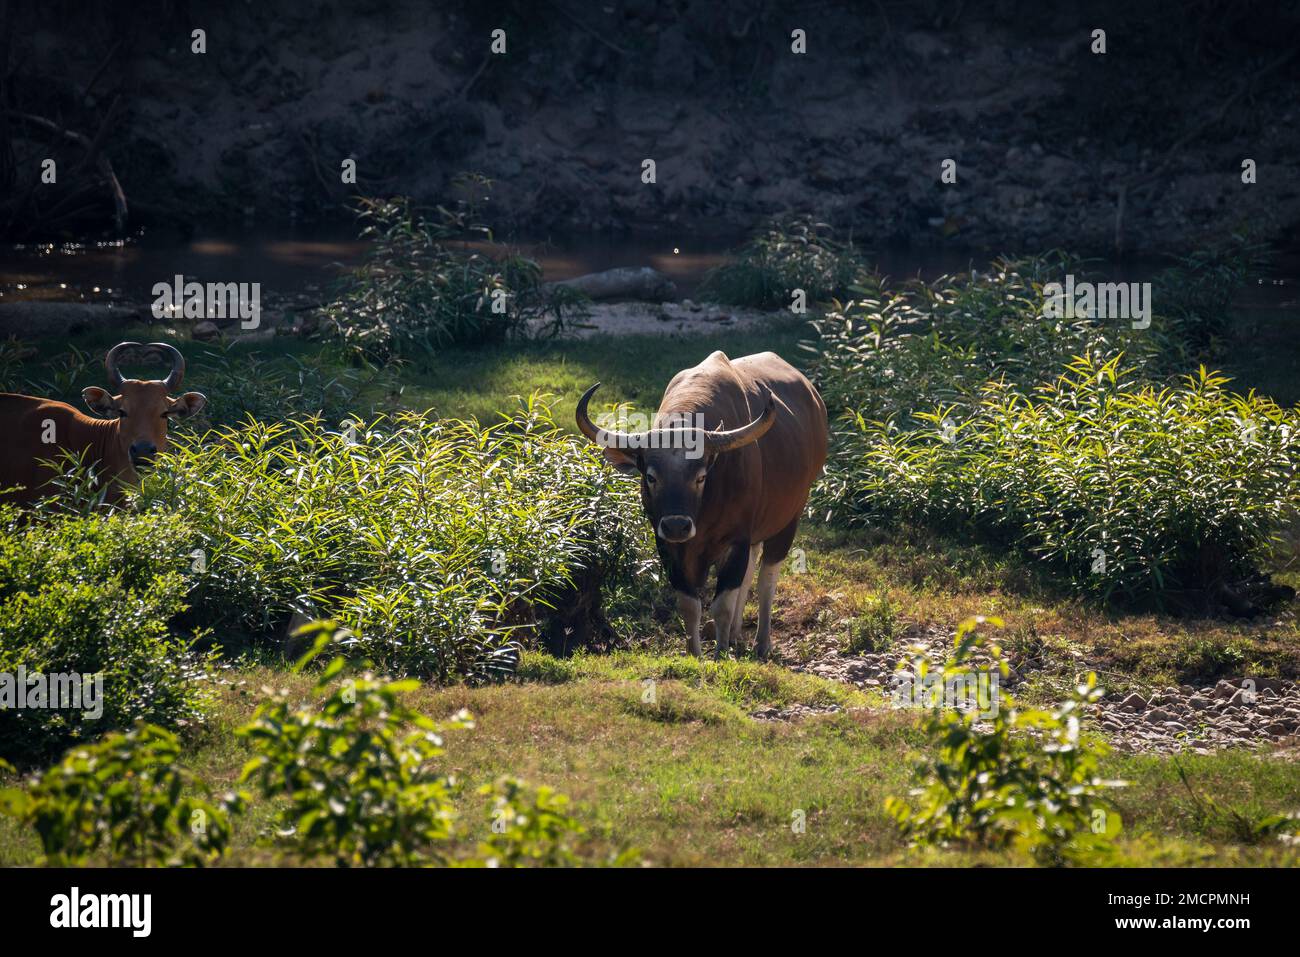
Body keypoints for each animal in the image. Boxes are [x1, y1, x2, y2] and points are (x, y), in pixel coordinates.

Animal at [576, 350, 827, 659]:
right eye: (651, 476)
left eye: (701, 477)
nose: (677, 526)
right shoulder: (668, 546)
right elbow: (689, 604)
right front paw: (695, 653)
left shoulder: (736, 538)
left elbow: (722, 605)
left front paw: (720, 654)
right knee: (750, 572)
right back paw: (736, 636)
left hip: (790, 518)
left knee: (767, 577)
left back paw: (761, 643)